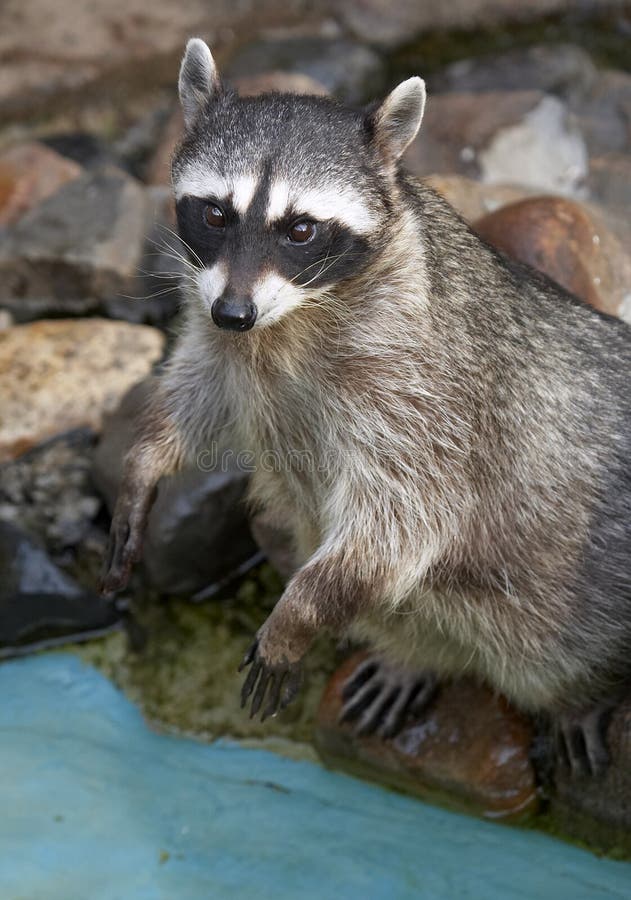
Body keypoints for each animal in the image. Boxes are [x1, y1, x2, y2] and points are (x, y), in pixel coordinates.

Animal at [102, 38, 631, 776]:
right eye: (215, 214)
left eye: (299, 228)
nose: (234, 311)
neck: (287, 322)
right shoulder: (217, 327)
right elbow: (197, 389)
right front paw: (144, 460)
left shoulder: (424, 387)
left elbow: (404, 519)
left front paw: (297, 614)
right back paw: (416, 657)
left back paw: (583, 696)